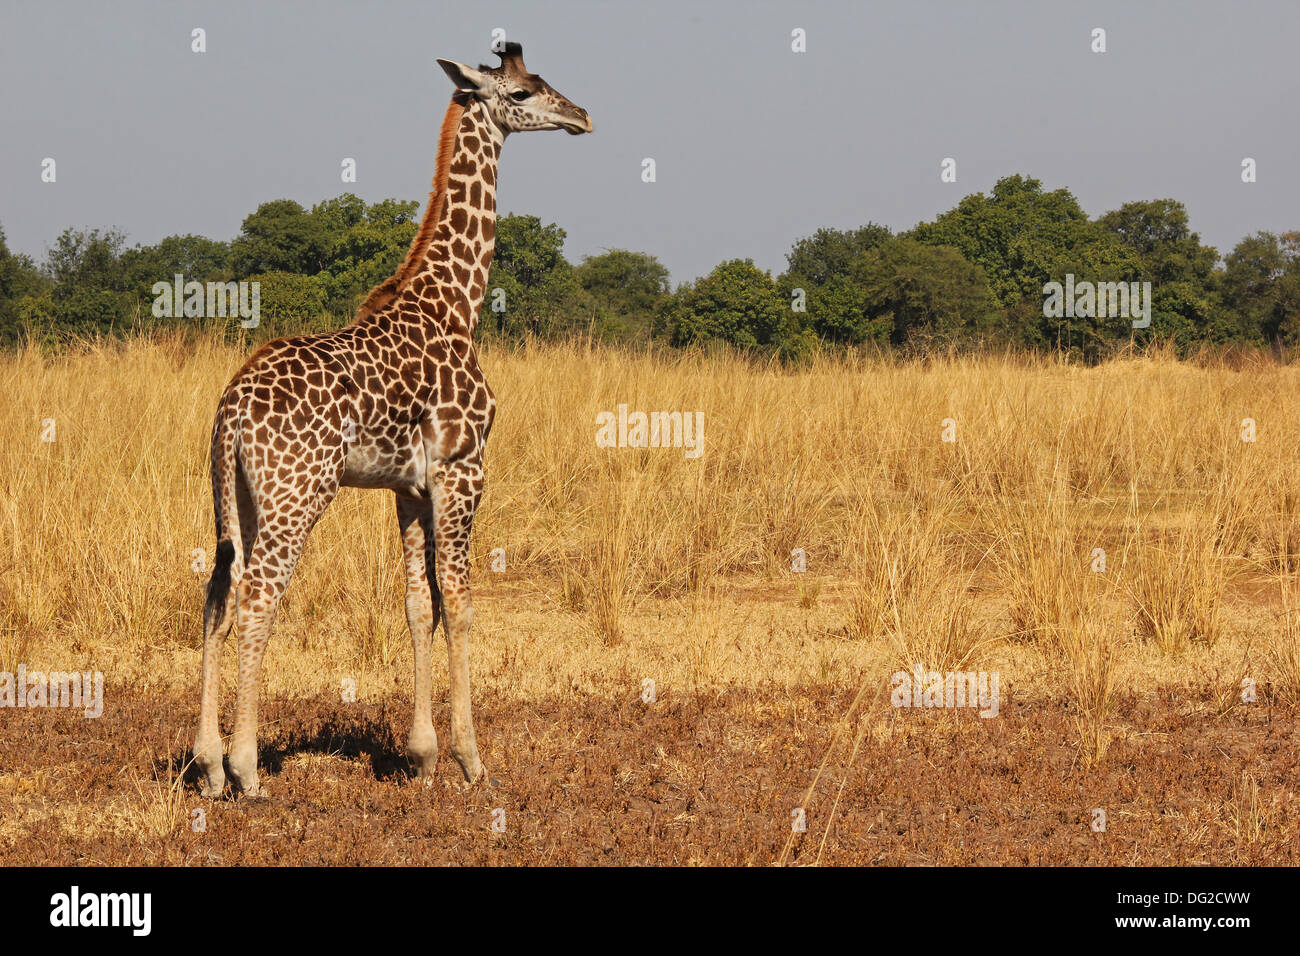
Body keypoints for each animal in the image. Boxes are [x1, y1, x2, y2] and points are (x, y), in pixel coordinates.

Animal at [193, 42, 592, 798]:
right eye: (524, 92)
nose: (582, 115)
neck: (456, 303)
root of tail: (230, 409)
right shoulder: (465, 468)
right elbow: (460, 602)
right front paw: (471, 760)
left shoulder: (409, 487)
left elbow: (416, 605)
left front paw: (422, 754)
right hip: (298, 495)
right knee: (259, 598)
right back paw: (247, 769)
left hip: (239, 499)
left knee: (218, 594)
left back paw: (205, 764)